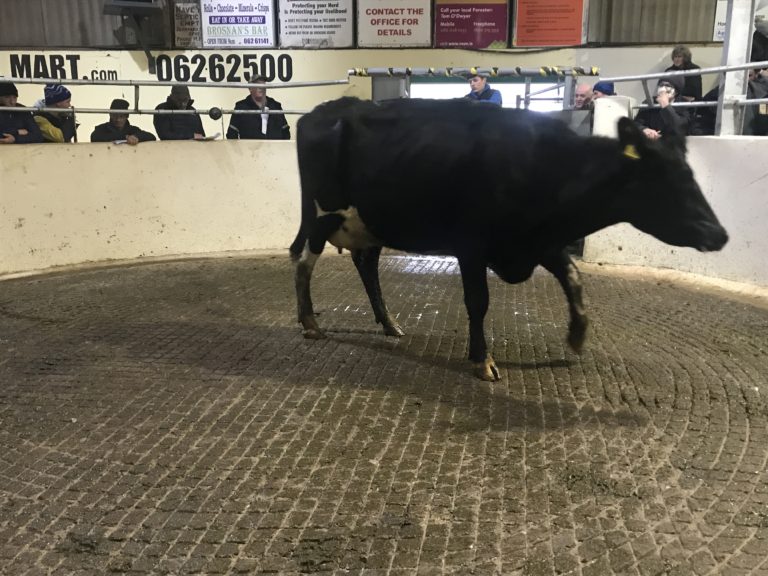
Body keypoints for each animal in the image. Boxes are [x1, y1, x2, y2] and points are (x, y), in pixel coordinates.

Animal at [290, 97, 728, 381]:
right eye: (665, 181)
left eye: (690, 175)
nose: (719, 234)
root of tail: (324, 111)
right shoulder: (471, 244)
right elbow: (478, 302)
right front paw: (482, 359)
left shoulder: (540, 242)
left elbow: (574, 279)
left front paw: (577, 336)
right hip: (321, 215)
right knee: (302, 260)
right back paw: (310, 322)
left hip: (369, 221)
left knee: (366, 265)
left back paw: (390, 324)